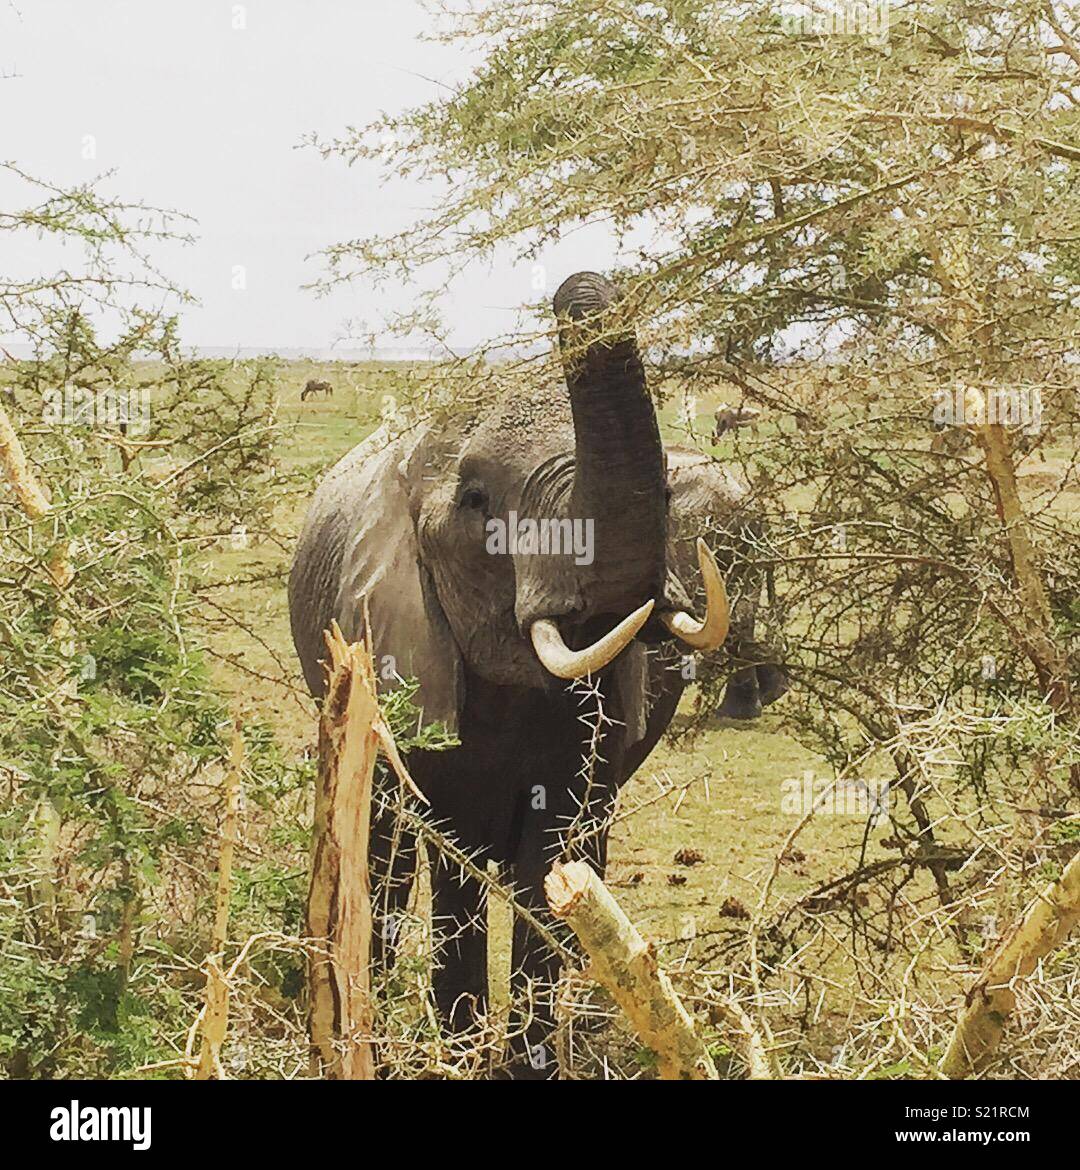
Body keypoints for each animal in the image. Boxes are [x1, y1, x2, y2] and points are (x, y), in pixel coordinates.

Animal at [289, 272, 786, 1078]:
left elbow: (550, 857)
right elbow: (427, 851)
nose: (573, 291)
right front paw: (442, 1049)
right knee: (402, 860)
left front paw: (529, 1060)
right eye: (475, 502)